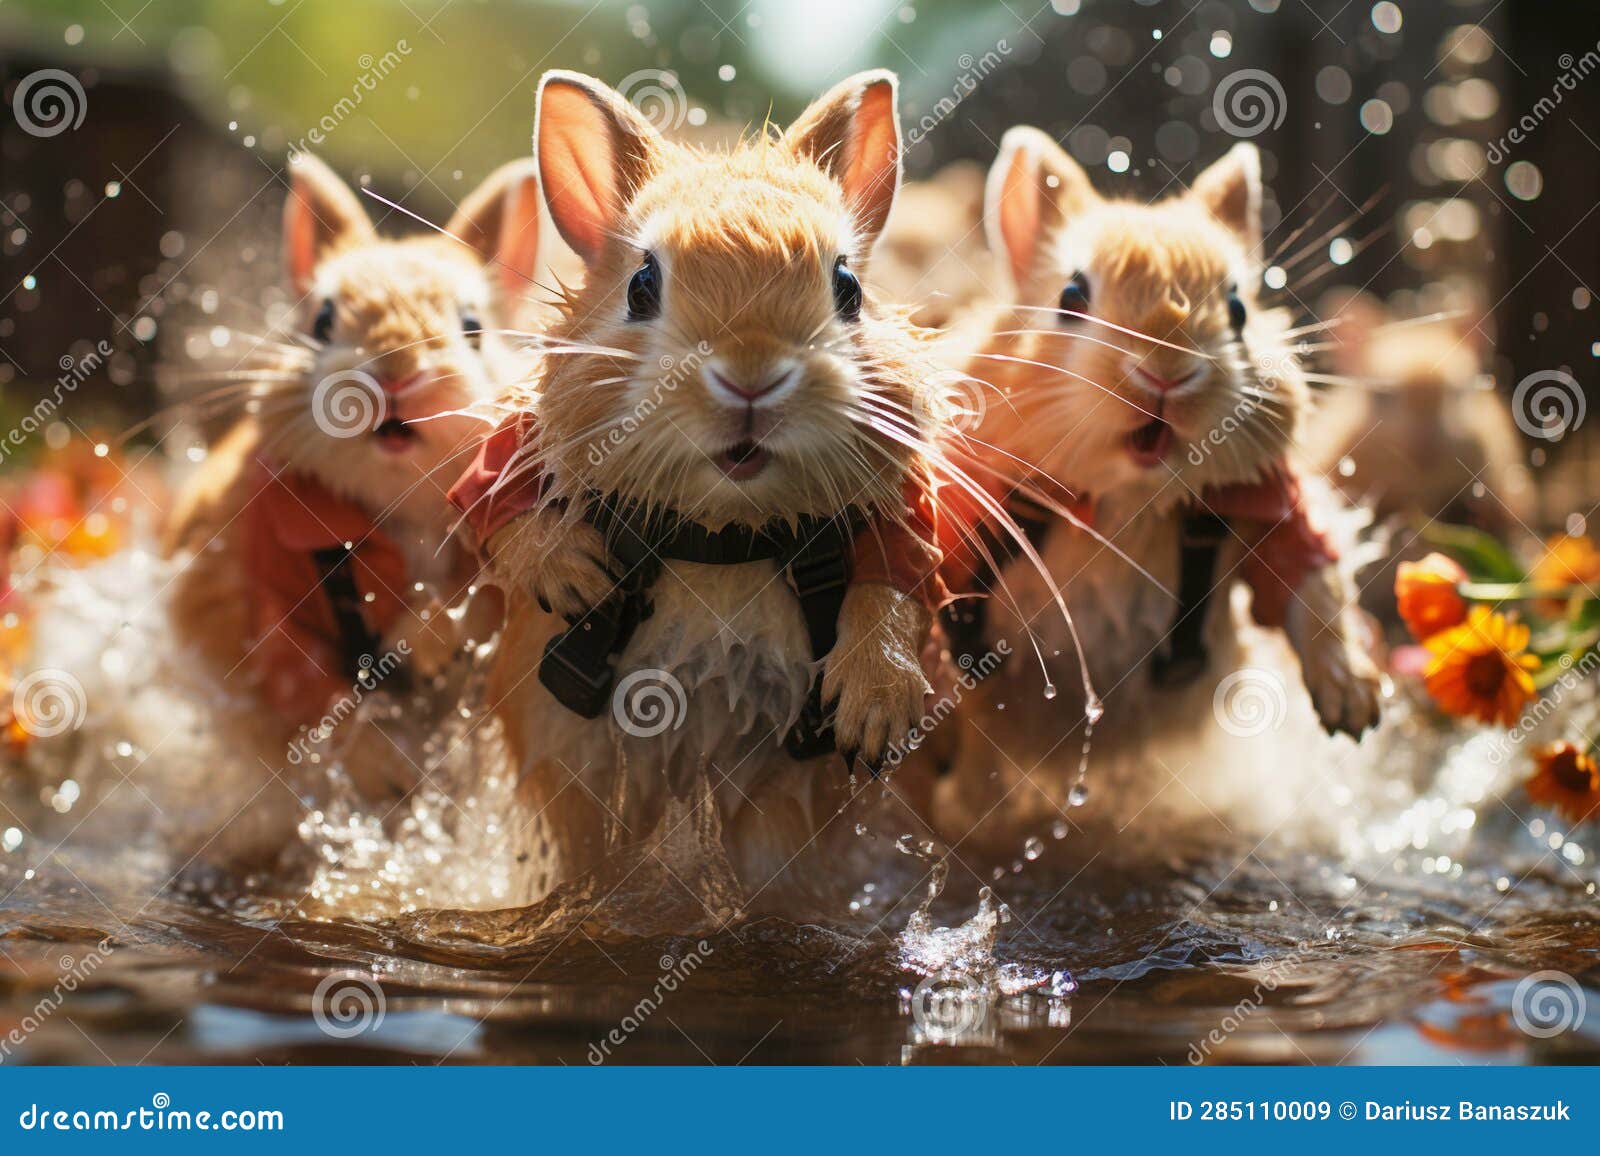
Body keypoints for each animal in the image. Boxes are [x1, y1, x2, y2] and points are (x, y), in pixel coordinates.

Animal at [159, 152, 545, 851]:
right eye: (321, 322)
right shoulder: (262, 611)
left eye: (472, 328)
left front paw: (432, 645)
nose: (394, 371)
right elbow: (315, 699)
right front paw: (392, 775)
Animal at [449, 70, 958, 897]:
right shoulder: (512, 456)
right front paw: (574, 573)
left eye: (847, 285)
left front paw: (876, 705)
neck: (724, 532)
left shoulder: (902, 515)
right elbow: (489, 500)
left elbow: (899, 577)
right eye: (641, 285)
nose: (751, 375)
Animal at [922, 130, 1384, 837]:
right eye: (1072, 296)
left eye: (1238, 309)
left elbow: (1311, 581)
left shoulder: (1270, 505)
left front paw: (1352, 701)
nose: (1167, 372)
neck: (1126, 502)